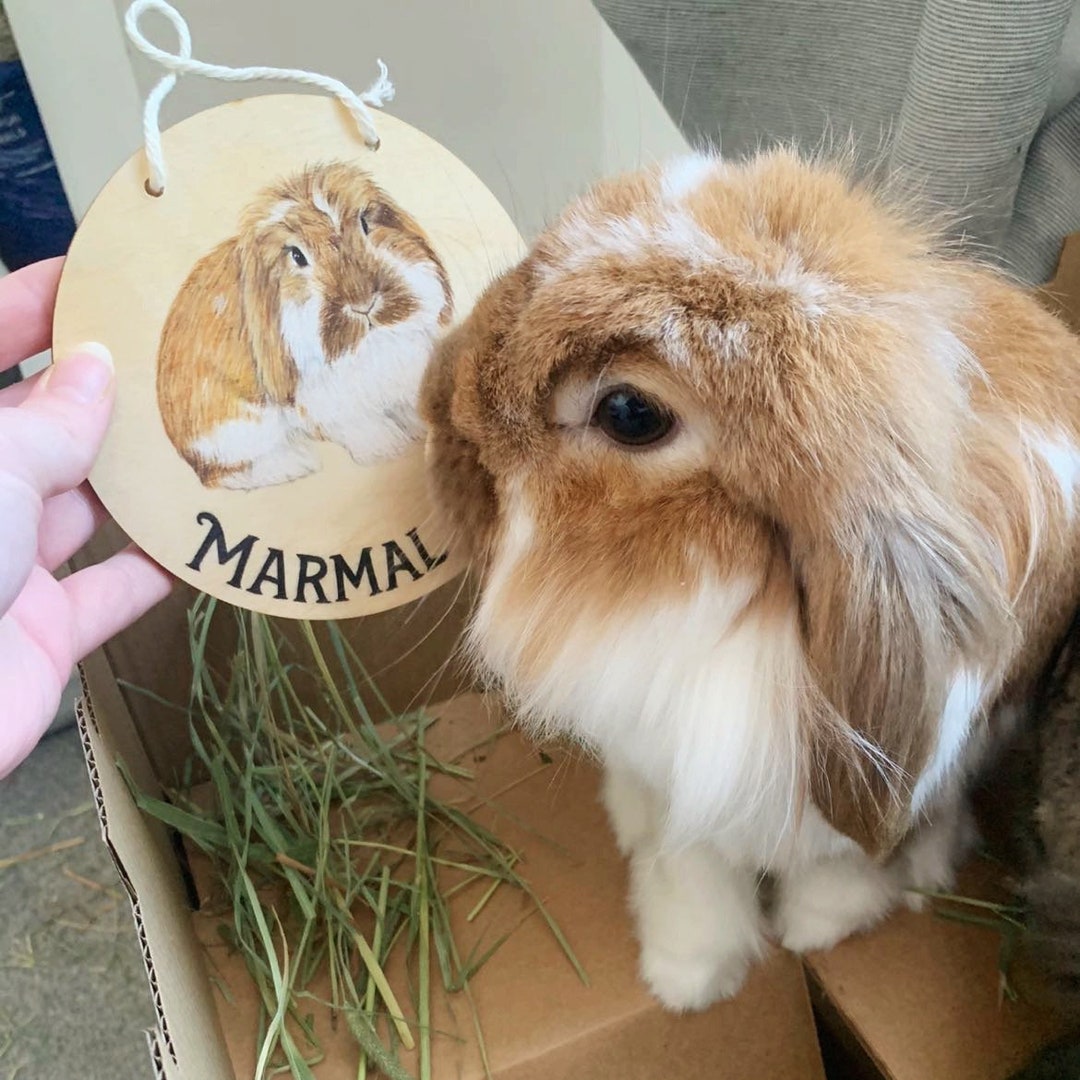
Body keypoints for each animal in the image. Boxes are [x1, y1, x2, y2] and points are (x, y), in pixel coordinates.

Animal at [157, 161, 453, 490]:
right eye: (297, 256)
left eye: (365, 223)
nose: (363, 303)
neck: (370, 344)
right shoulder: (323, 404)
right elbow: (361, 427)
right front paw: (389, 449)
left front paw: (418, 430)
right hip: (236, 427)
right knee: (221, 474)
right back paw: (297, 463)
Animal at [418, 147, 1080, 1011]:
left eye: (629, 413)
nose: (434, 406)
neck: (742, 601)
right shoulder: (674, 771)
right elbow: (689, 871)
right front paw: (688, 978)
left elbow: (841, 861)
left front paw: (817, 930)